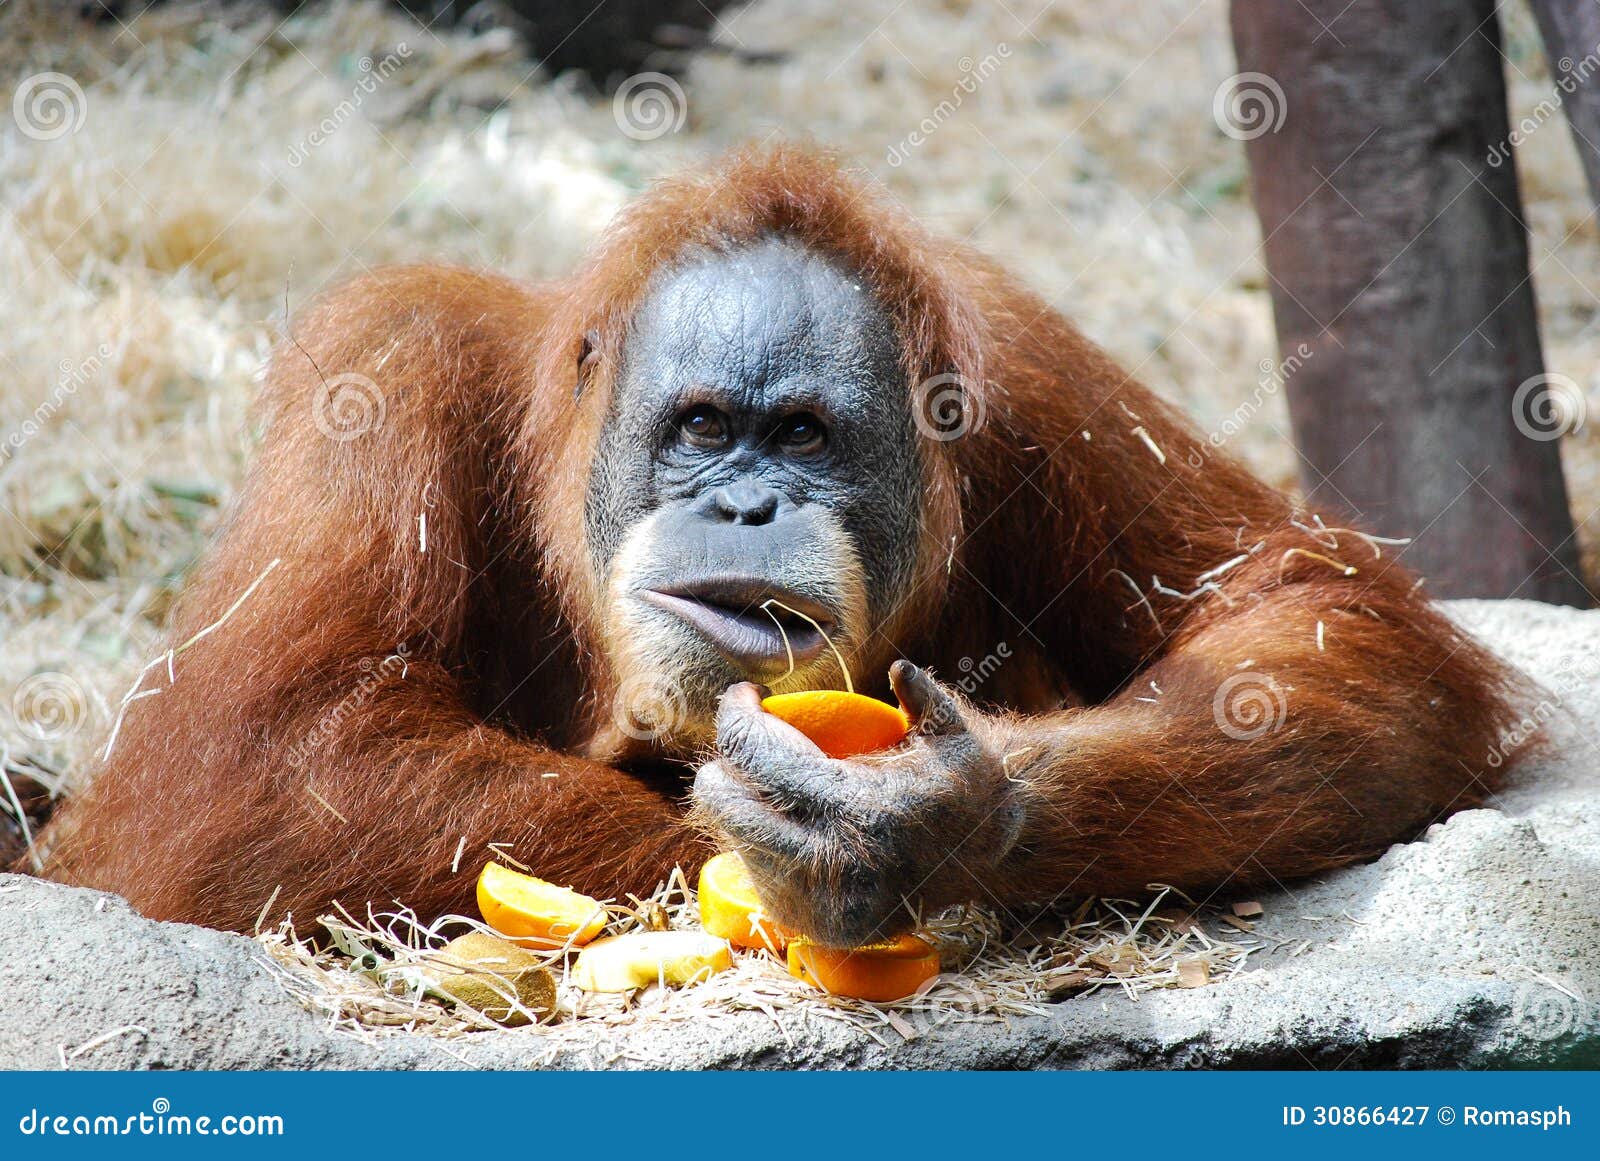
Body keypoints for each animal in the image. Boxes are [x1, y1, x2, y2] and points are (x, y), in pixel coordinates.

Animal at [32, 144, 1519, 947]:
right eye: (703, 427)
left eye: (803, 435)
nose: (748, 504)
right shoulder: (387, 376)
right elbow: (264, 759)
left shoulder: (1030, 376)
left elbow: (1291, 600)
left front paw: (923, 823)